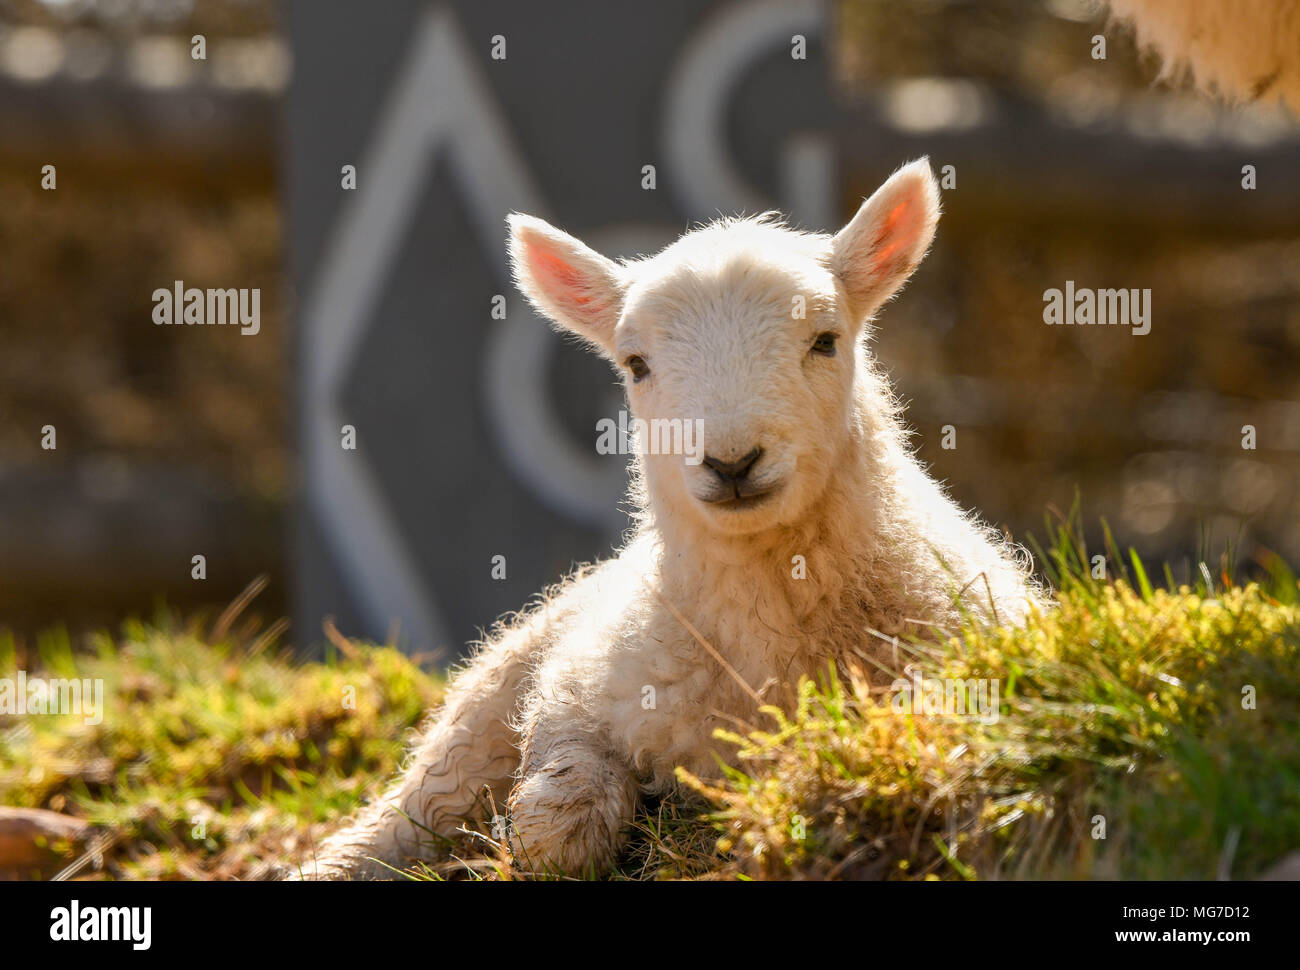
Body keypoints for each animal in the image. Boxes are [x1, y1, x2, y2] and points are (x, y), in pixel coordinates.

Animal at [290, 158, 1041, 880]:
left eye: (826, 341)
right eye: (636, 364)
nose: (732, 461)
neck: (765, 642)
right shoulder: (576, 685)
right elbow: (562, 811)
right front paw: (547, 823)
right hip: (488, 699)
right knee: (412, 812)